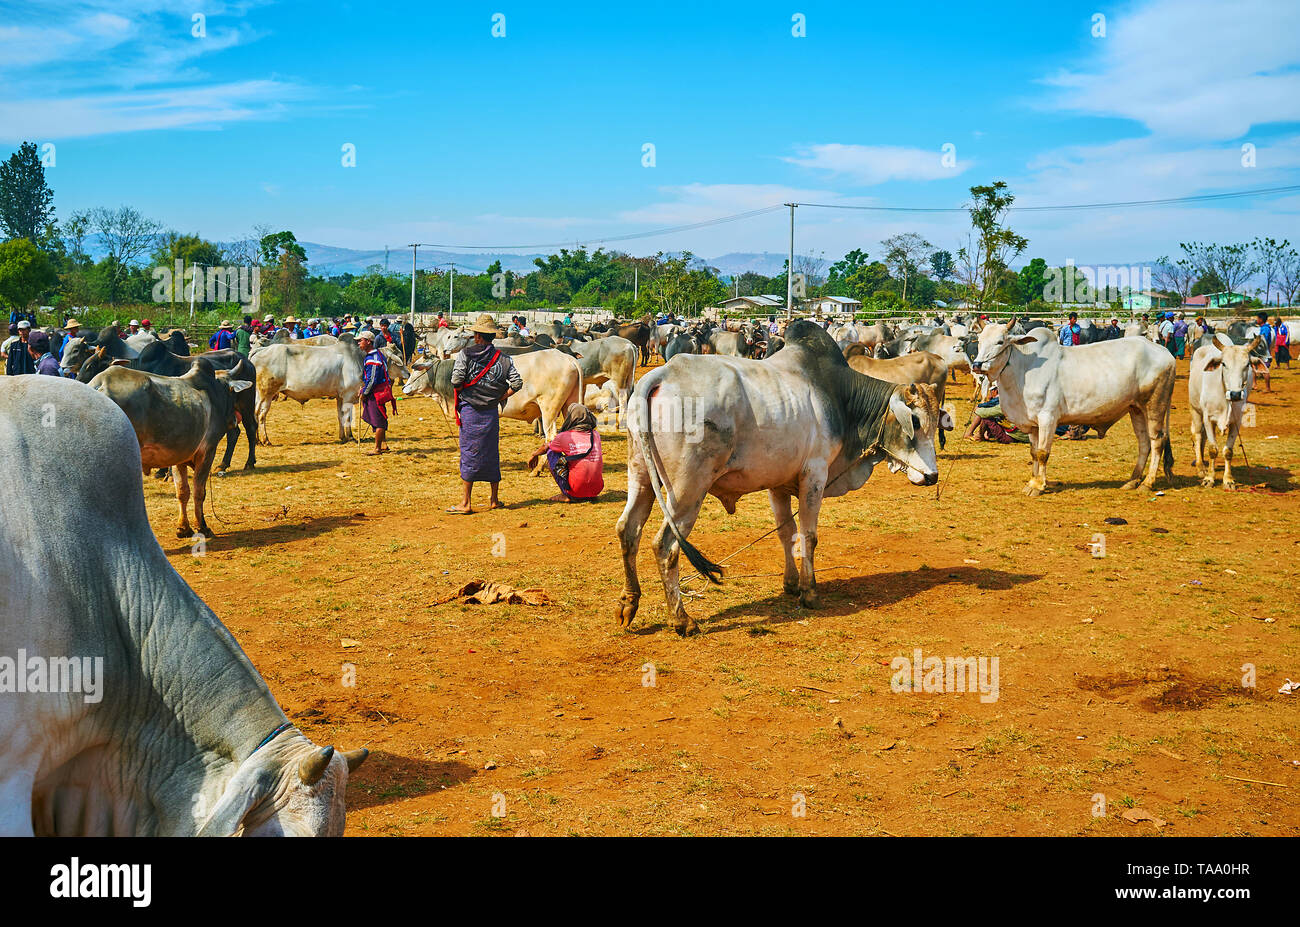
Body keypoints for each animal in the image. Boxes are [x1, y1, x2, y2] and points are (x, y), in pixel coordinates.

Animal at [88, 357, 252, 538]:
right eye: (233, 393)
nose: (234, 419)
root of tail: (98, 386)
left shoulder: (179, 456)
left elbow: (182, 491)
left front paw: (183, 528)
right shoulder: (207, 452)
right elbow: (199, 491)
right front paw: (202, 527)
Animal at [615, 320, 949, 636]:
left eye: (934, 423)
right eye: (914, 421)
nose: (932, 476)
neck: (841, 396)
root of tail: (661, 375)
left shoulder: (778, 484)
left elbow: (786, 532)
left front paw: (791, 584)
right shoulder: (815, 475)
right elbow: (809, 535)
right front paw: (809, 592)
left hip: (641, 475)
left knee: (628, 530)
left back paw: (629, 603)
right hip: (687, 490)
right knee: (666, 546)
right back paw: (682, 619)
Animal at [971, 322, 1176, 496]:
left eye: (1000, 341)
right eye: (979, 341)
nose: (977, 365)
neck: (1023, 369)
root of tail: (1165, 352)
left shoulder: (1047, 418)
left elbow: (1043, 453)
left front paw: (1038, 486)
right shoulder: (1033, 424)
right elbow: (1034, 453)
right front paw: (1033, 482)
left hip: (1155, 405)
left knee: (1157, 441)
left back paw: (1147, 483)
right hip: (1136, 409)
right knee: (1144, 443)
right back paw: (1132, 481)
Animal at [1189, 335, 1259, 490]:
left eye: (1247, 365)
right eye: (1224, 364)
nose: (1235, 394)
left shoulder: (1236, 422)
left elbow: (1228, 451)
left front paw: (1228, 480)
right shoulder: (1208, 418)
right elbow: (1213, 449)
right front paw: (1209, 479)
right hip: (1195, 410)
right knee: (1197, 435)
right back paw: (1200, 467)